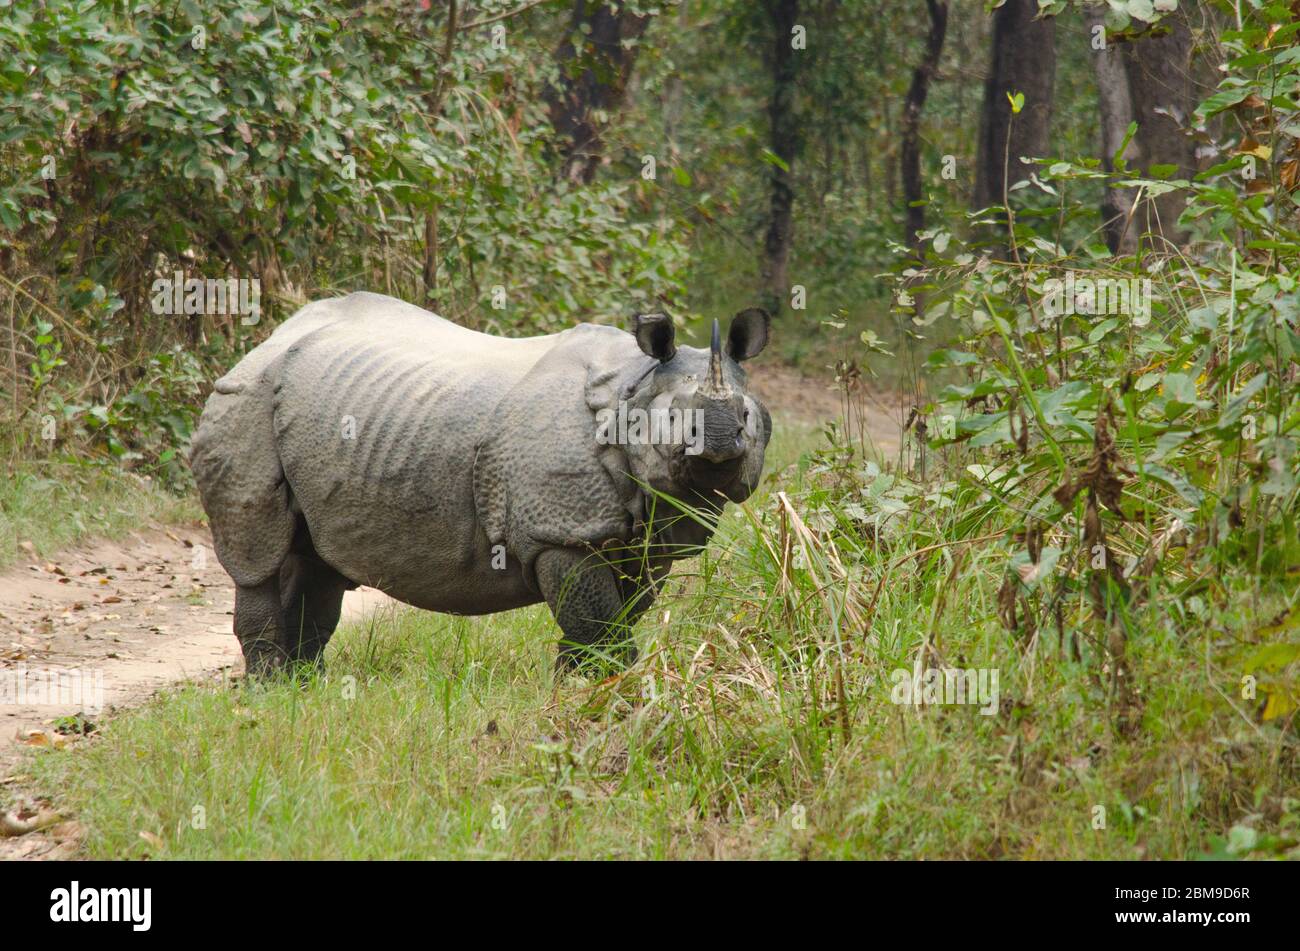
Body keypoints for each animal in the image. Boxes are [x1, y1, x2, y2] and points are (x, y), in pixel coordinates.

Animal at [190, 292, 772, 675]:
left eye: (748, 416)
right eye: (674, 422)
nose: (720, 445)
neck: (634, 387)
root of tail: (267, 342)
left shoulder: (646, 532)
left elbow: (616, 618)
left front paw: (578, 683)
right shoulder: (559, 531)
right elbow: (597, 622)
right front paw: (603, 689)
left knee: (317, 557)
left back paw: (305, 688)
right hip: (244, 404)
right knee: (258, 555)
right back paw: (272, 691)